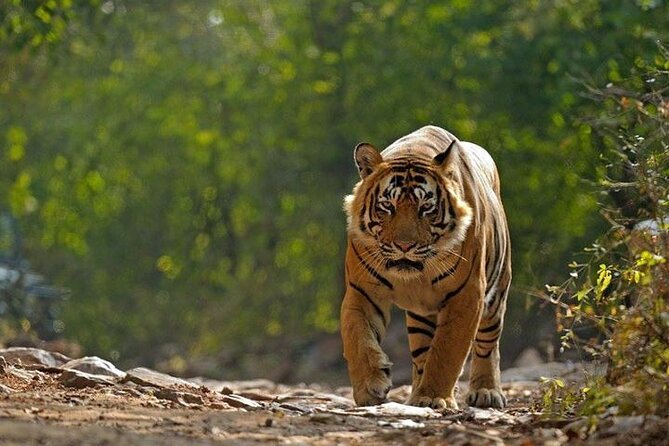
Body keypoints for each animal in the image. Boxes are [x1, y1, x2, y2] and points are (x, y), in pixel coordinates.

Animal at [341, 125, 511, 410]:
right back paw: (415, 396)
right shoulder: (361, 291)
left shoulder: (467, 295)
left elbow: (447, 351)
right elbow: (357, 338)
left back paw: (486, 392)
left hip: (496, 295)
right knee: (422, 353)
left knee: (488, 344)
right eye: (387, 206)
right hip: (421, 316)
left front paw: (434, 396)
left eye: (426, 208)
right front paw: (370, 387)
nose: (404, 245)